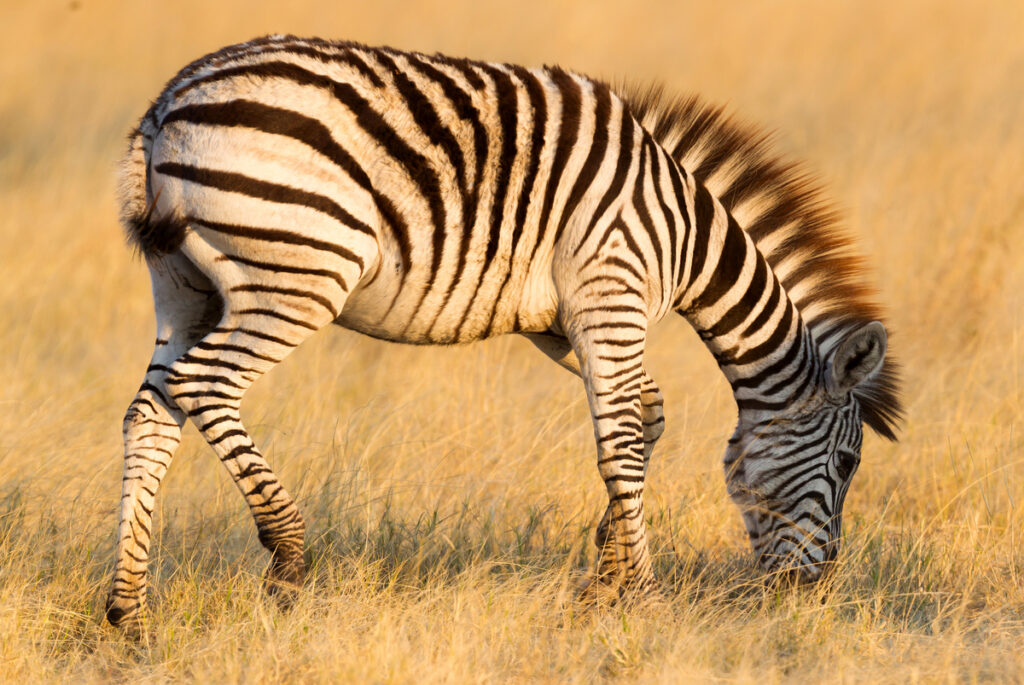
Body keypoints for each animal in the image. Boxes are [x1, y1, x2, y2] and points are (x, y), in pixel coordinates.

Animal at [105, 34, 901, 631]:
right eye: (848, 464)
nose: (813, 594)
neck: (680, 229)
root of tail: (167, 106)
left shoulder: (563, 325)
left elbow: (644, 415)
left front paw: (606, 574)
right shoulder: (611, 292)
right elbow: (621, 437)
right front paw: (642, 595)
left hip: (185, 287)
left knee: (150, 413)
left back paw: (129, 611)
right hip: (297, 271)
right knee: (204, 385)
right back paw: (289, 556)